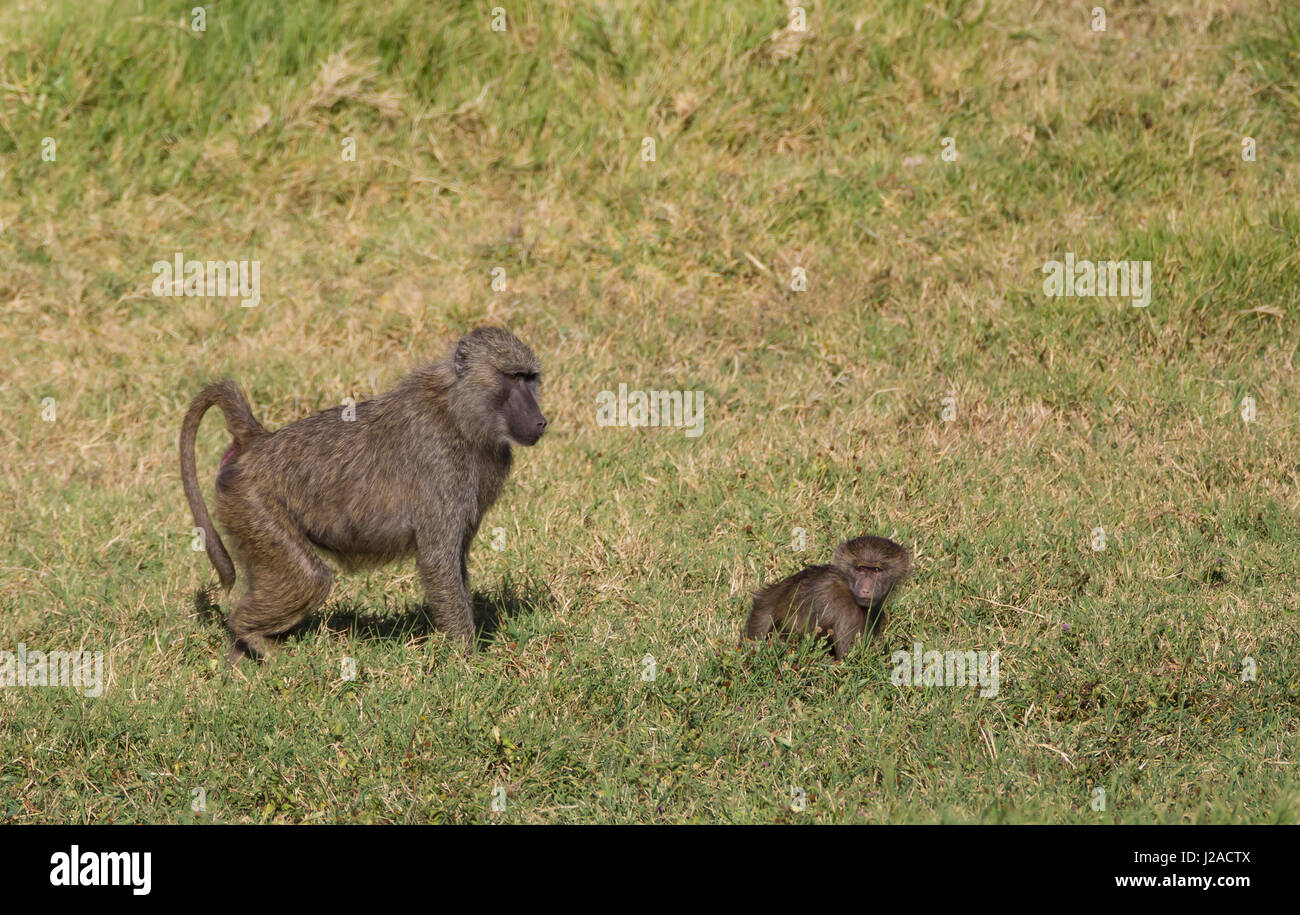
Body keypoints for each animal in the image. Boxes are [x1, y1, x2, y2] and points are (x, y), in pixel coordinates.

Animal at [179, 326, 547, 665]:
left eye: (531, 379)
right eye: (512, 377)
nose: (541, 421)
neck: (459, 413)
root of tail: (258, 441)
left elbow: (456, 560)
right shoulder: (440, 462)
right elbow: (438, 560)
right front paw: (468, 663)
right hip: (254, 503)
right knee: (308, 580)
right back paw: (267, 645)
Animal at [746, 536, 910, 660]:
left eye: (876, 570)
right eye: (861, 569)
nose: (866, 590)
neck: (846, 584)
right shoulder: (848, 613)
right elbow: (847, 662)